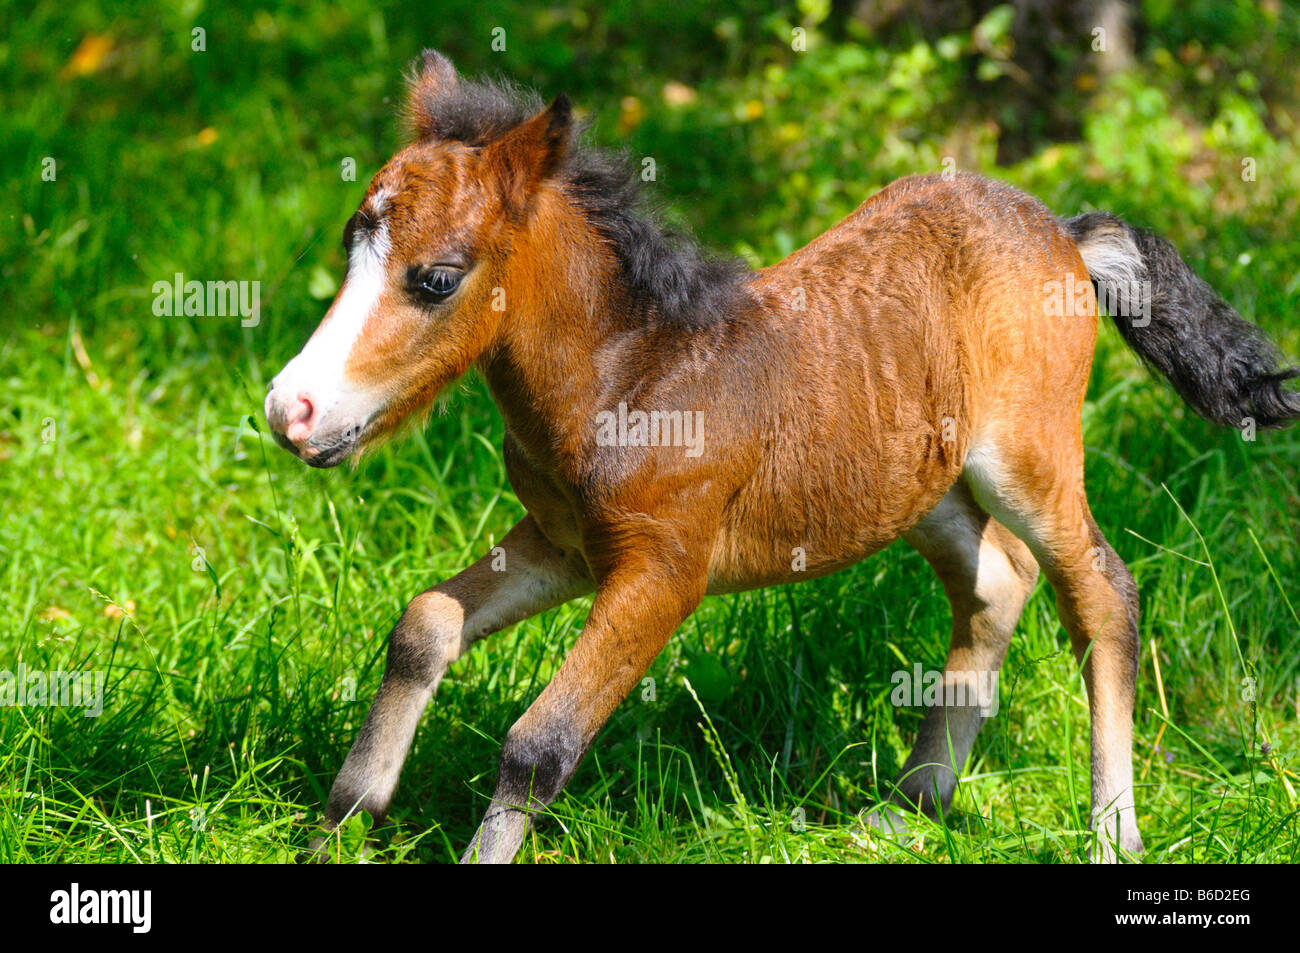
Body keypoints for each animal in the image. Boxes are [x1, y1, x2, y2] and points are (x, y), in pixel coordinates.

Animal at [264, 50, 1300, 863]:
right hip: (917, 484)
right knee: (999, 582)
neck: (630, 373)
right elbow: (424, 625)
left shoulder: (662, 571)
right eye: (352, 245)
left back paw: (1110, 830)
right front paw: (336, 829)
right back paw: (904, 810)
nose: (289, 410)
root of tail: (1067, 234)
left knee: (1101, 593)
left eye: (436, 278)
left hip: (1030, 457)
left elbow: (538, 742)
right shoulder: (564, 543)